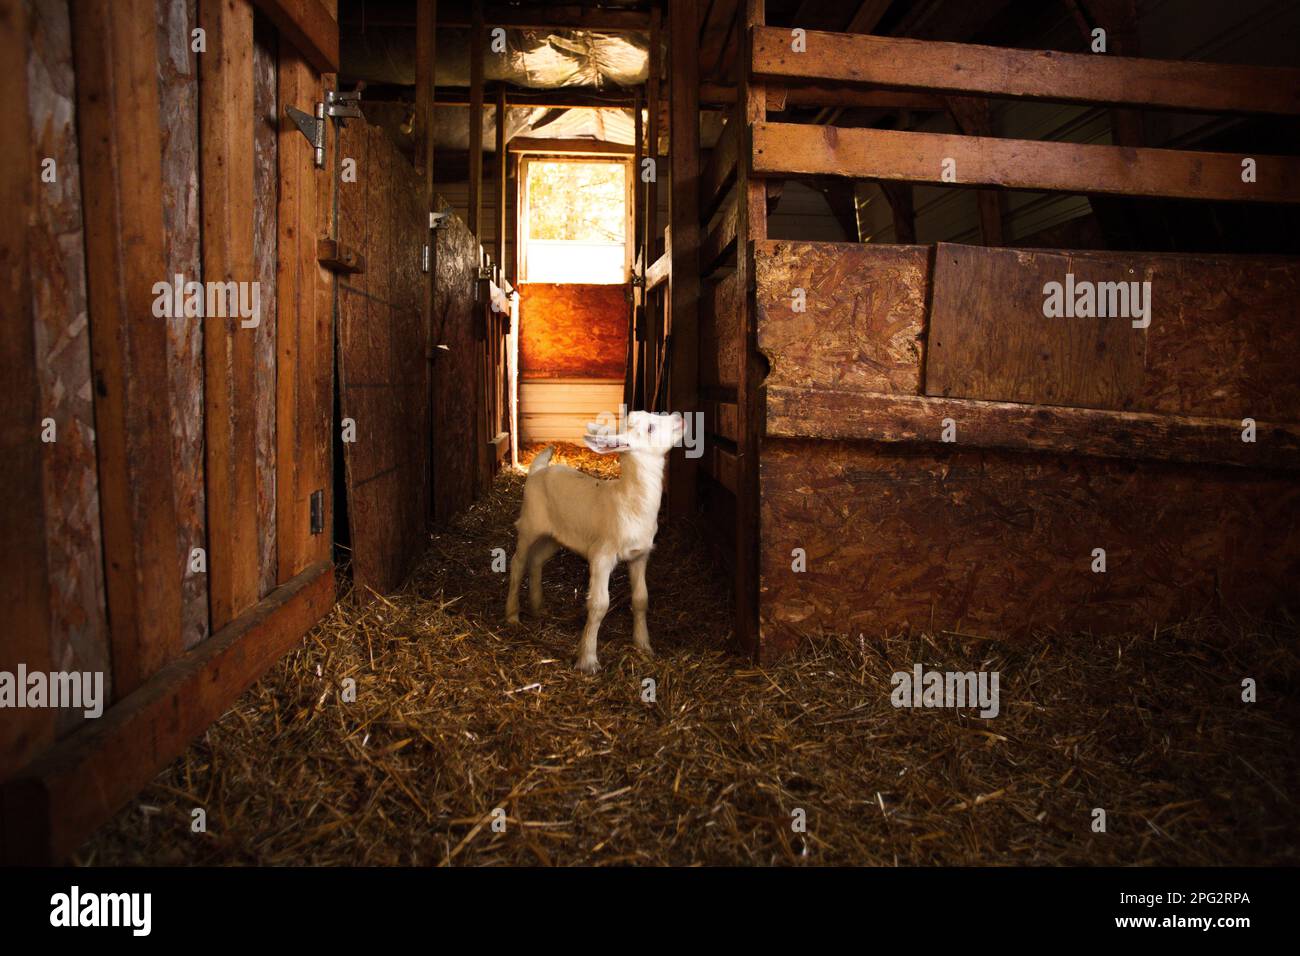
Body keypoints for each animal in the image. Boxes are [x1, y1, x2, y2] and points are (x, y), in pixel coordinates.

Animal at [506, 411, 685, 673]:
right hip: (530, 525)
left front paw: (643, 645)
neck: (629, 502)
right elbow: (600, 604)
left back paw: (538, 607)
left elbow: (641, 599)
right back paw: (512, 616)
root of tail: (537, 470)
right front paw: (588, 660)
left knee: (536, 560)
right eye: (650, 428)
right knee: (518, 563)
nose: (680, 418)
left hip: (555, 535)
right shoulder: (602, 556)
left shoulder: (640, 555)